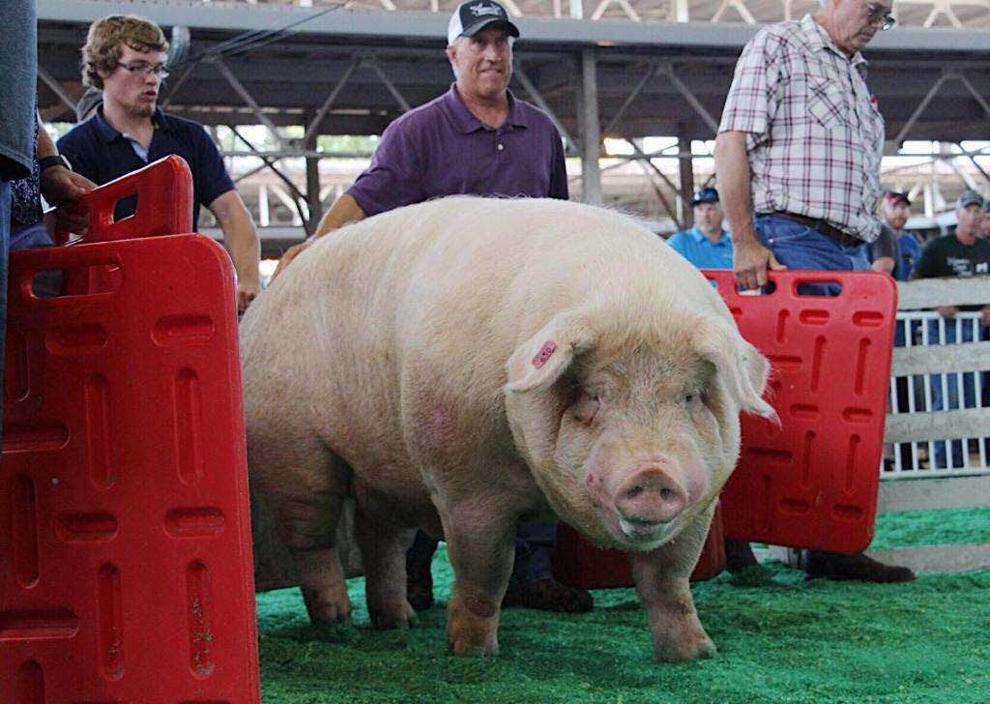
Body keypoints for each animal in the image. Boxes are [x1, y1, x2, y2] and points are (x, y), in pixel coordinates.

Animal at [240, 196, 774, 662]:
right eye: (594, 394)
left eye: (689, 396)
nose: (653, 472)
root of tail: (266, 300)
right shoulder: (468, 486)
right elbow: (487, 571)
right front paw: (472, 653)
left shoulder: (700, 501)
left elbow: (669, 581)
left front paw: (696, 656)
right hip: (294, 450)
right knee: (314, 539)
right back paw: (337, 623)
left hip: (385, 469)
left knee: (381, 537)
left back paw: (398, 622)